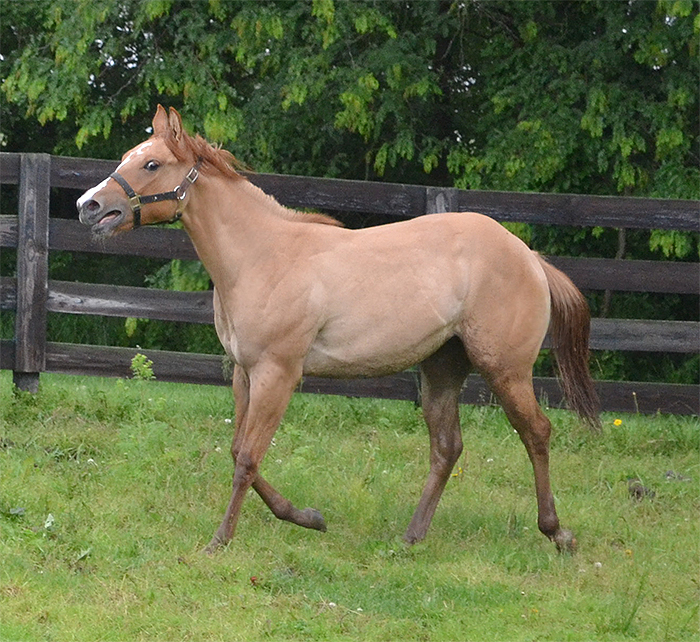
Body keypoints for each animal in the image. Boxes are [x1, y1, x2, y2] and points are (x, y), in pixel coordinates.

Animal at [77, 105, 600, 554]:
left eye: (151, 163)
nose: (88, 206)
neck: (260, 256)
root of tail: (530, 257)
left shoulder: (278, 373)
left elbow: (246, 458)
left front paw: (220, 541)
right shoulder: (245, 373)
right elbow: (238, 449)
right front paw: (308, 517)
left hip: (505, 368)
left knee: (536, 432)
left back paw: (558, 533)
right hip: (442, 368)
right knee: (447, 447)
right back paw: (411, 537)